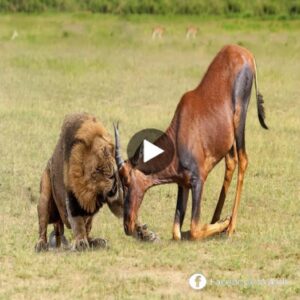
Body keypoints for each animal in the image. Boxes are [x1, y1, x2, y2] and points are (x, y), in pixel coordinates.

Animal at [34, 112, 126, 251]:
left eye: (113, 174)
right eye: (97, 171)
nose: (114, 189)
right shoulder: (72, 196)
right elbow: (77, 222)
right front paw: (80, 243)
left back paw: (98, 241)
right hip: (44, 196)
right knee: (43, 225)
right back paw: (40, 245)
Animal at [114, 45, 268, 241]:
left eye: (126, 181)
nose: (128, 226)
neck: (179, 132)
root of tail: (244, 52)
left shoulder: (198, 181)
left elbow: (194, 229)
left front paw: (225, 222)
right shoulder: (184, 184)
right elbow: (176, 232)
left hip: (240, 119)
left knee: (243, 160)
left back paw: (230, 226)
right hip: (228, 138)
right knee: (231, 162)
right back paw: (216, 220)